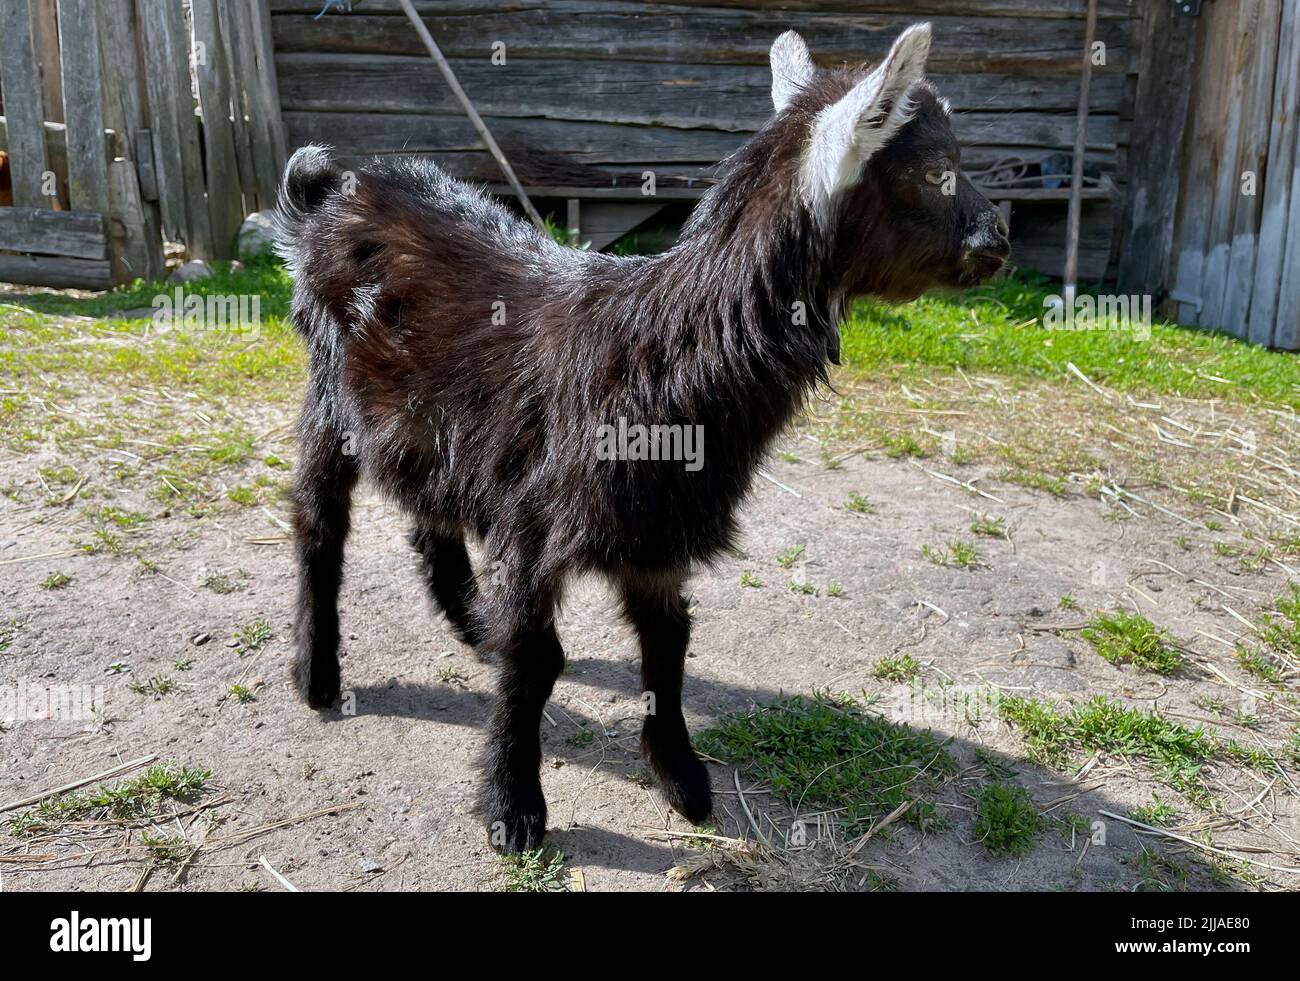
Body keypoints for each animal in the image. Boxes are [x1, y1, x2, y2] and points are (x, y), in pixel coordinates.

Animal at [274, 23, 1010, 854]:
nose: (1001, 241)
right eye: (936, 172)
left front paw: (683, 779)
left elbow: (669, 642)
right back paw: (317, 672)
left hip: (426, 419)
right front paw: (513, 807)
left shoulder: (656, 530)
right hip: (329, 391)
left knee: (429, 503)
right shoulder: (538, 519)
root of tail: (336, 191)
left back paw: (469, 620)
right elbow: (538, 657)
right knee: (318, 518)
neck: (665, 352)